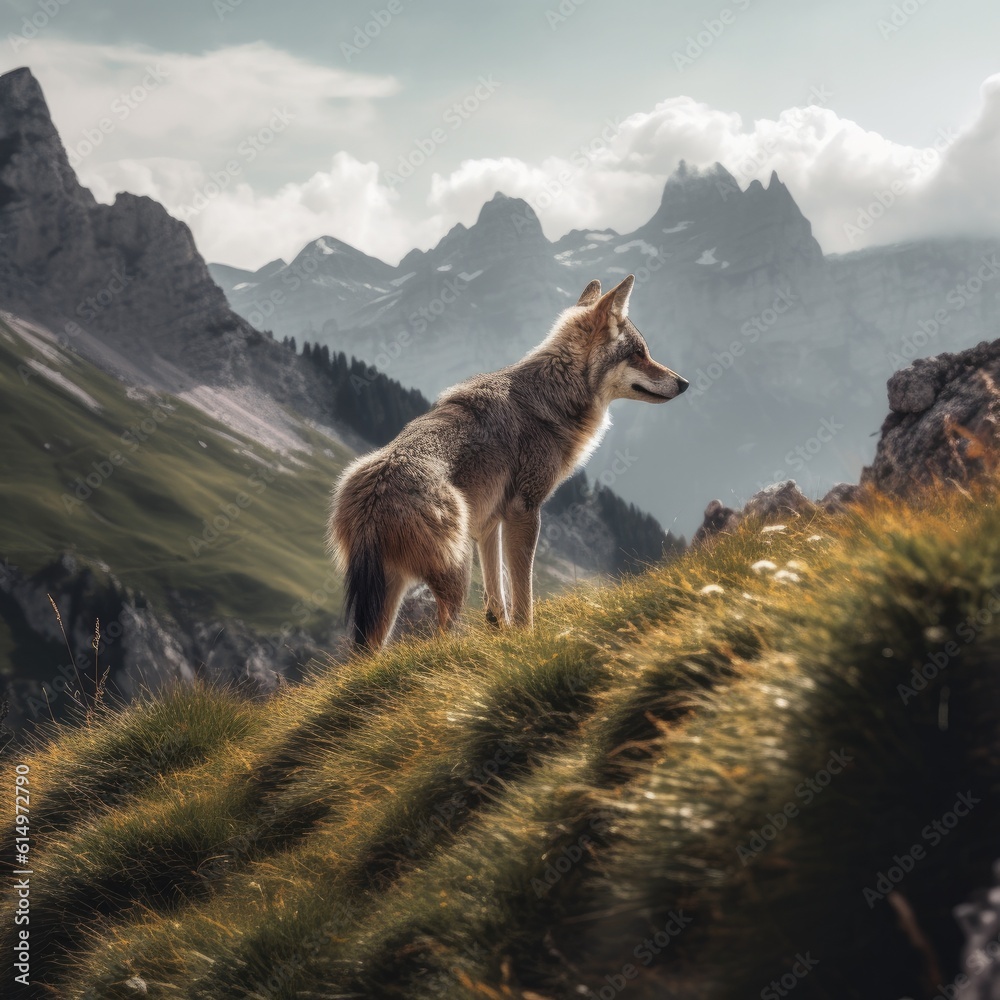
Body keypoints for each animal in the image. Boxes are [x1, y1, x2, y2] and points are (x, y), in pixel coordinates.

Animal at [328, 274, 687, 650]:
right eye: (638, 354)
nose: (684, 383)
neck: (552, 398)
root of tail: (374, 493)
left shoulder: (489, 524)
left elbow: (496, 594)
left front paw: (499, 631)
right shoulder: (524, 511)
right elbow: (522, 593)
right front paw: (526, 638)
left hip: (391, 597)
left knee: (366, 654)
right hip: (456, 576)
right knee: (440, 637)